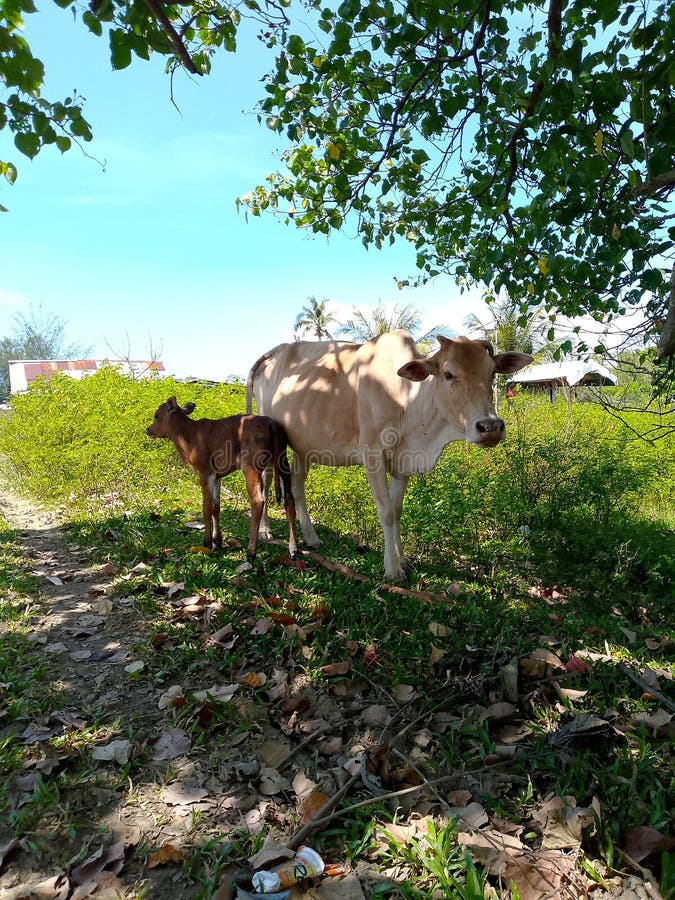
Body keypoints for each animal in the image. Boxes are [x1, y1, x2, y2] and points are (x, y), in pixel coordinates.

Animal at [146, 397, 298, 561]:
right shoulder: (217, 476)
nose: (148, 429)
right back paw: (293, 549)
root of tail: (271, 423)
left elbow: (206, 507)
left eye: (156, 415)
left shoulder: (205, 473)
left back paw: (251, 551)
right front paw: (217, 540)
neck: (187, 435)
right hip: (283, 462)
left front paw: (207, 542)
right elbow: (216, 507)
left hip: (251, 467)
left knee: (258, 501)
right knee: (289, 499)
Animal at [246, 333, 532, 580]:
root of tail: (275, 351)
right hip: (270, 440)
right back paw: (266, 530)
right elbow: (385, 512)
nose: (491, 427)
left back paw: (311, 537)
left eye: (492, 372)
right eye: (449, 374)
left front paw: (402, 560)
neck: (405, 399)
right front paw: (392, 570)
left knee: (296, 485)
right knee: (267, 481)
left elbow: (396, 511)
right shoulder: (373, 455)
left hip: (303, 446)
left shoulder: (402, 463)